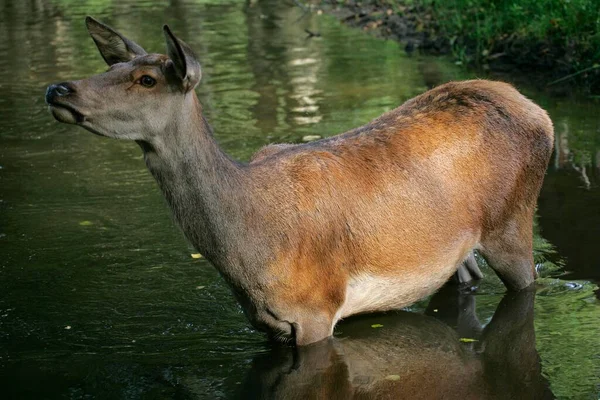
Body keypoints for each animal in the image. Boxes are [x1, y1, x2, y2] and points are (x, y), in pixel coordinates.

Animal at [45, 17, 552, 346]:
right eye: (110, 67)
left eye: (147, 78)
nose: (58, 88)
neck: (248, 254)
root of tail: (539, 113)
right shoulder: (268, 324)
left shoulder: (315, 308)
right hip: (452, 248)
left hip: (512, 221)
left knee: (530, 280)